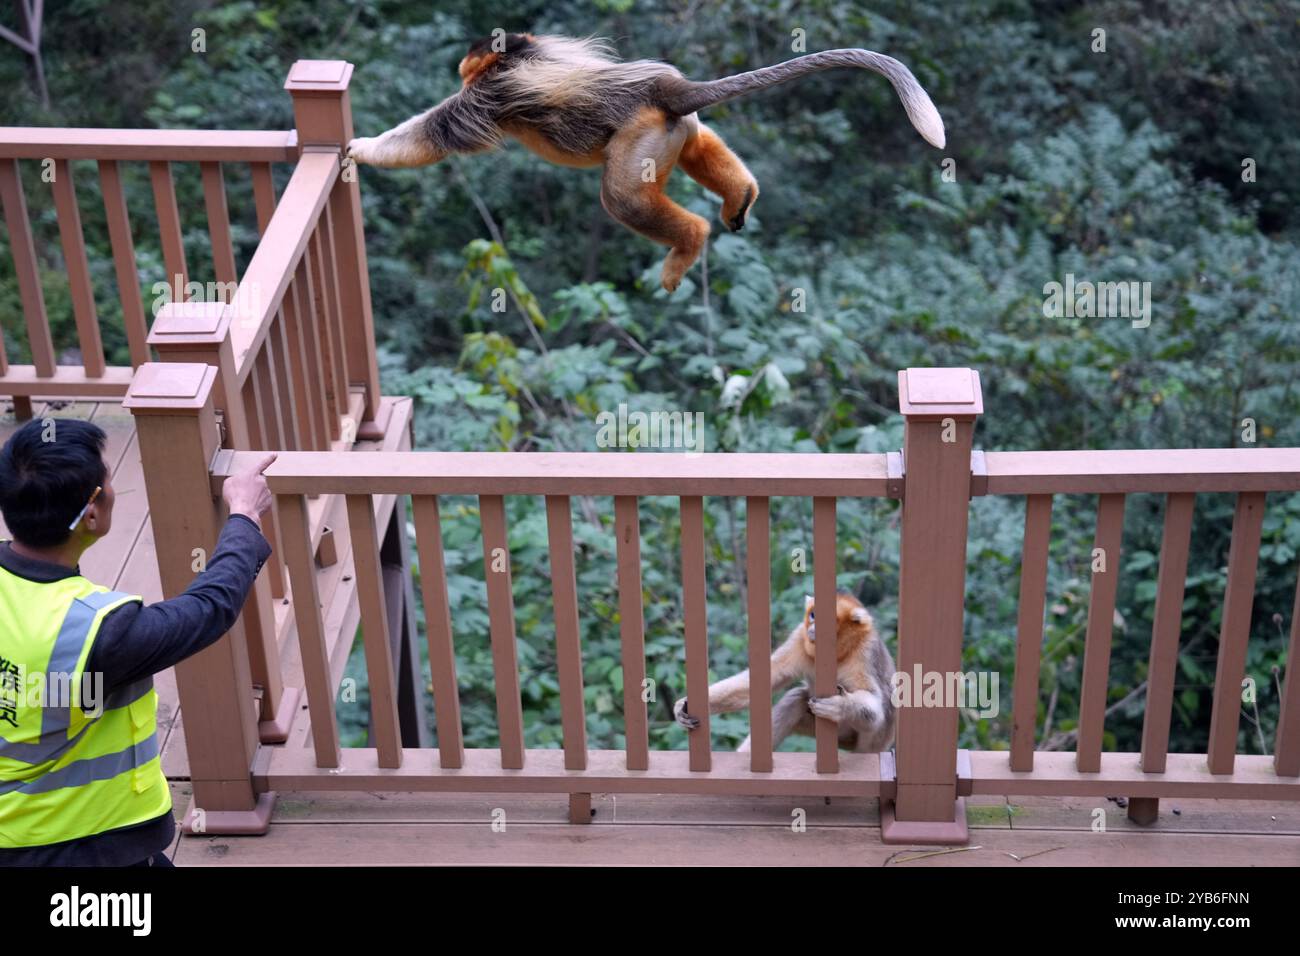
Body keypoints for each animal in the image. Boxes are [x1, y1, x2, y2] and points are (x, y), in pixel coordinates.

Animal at [347, 33, 945, 293]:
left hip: (641, 134)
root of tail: (666, 89)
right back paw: (740, 196)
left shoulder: (484, 98)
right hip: (676, 126)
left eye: (467, 67)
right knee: (700, 147)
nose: (461, 65)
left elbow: (431, 134)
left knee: (622, 197)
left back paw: (691, 242)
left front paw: (360, 148)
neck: (513, 58)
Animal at [672, 590, 896, 753]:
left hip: (869, 741)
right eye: (813, 615)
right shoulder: (800, 637)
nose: (813, 627)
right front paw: (683, 704)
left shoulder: (866, 651)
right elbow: (762, 680)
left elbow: (876, 706)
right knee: (794, 700)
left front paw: (840, 706)